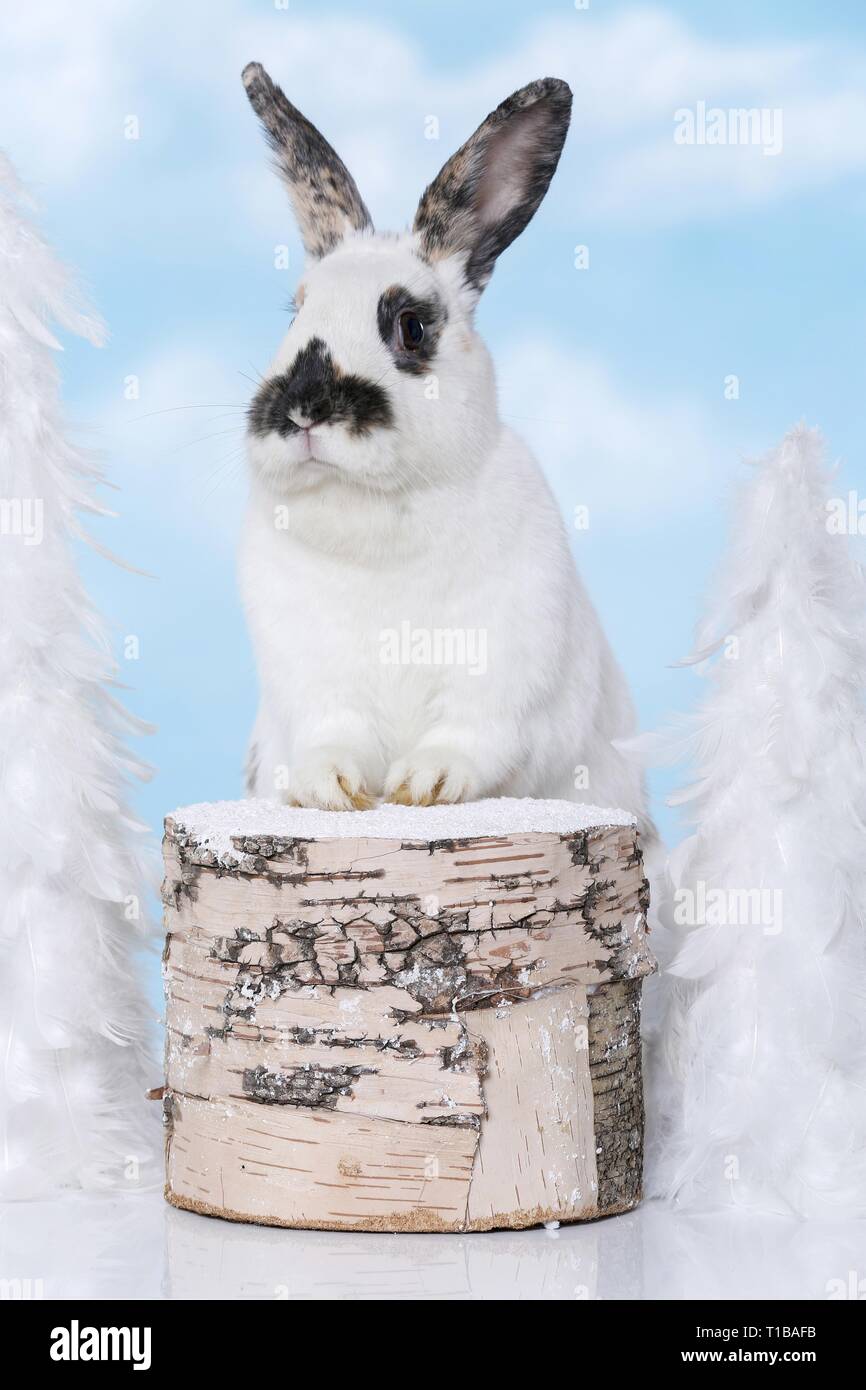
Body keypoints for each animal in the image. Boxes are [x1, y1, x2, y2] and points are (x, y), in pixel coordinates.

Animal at [238, 61, 650, 834]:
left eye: (410, 326)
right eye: (295, 312)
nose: (304, 408)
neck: (377, 520)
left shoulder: (504, 681)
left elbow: (471, 738)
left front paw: (424, 784)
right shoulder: (312, 687)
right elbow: (329, 738)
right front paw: (331, 790)